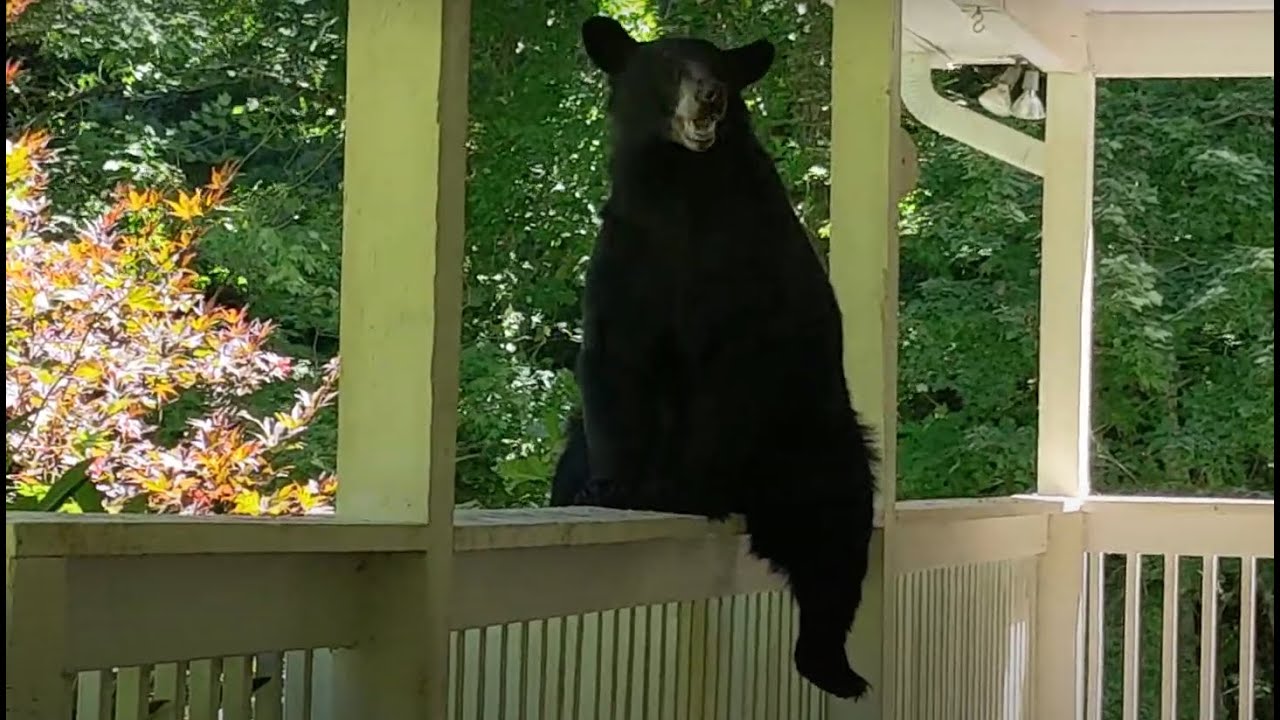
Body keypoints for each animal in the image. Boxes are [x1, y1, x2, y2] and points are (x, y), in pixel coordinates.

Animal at [550, 16, 878, 701]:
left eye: (723, 71)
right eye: (672, 66)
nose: (711, 98)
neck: (681, 187)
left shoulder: (745, 262)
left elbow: (735, 364)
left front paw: (684, 488)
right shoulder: (630, 251)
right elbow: (615, 357)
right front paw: (613, 485)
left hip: (815, 441)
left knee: (836, 533)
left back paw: (832, 666)